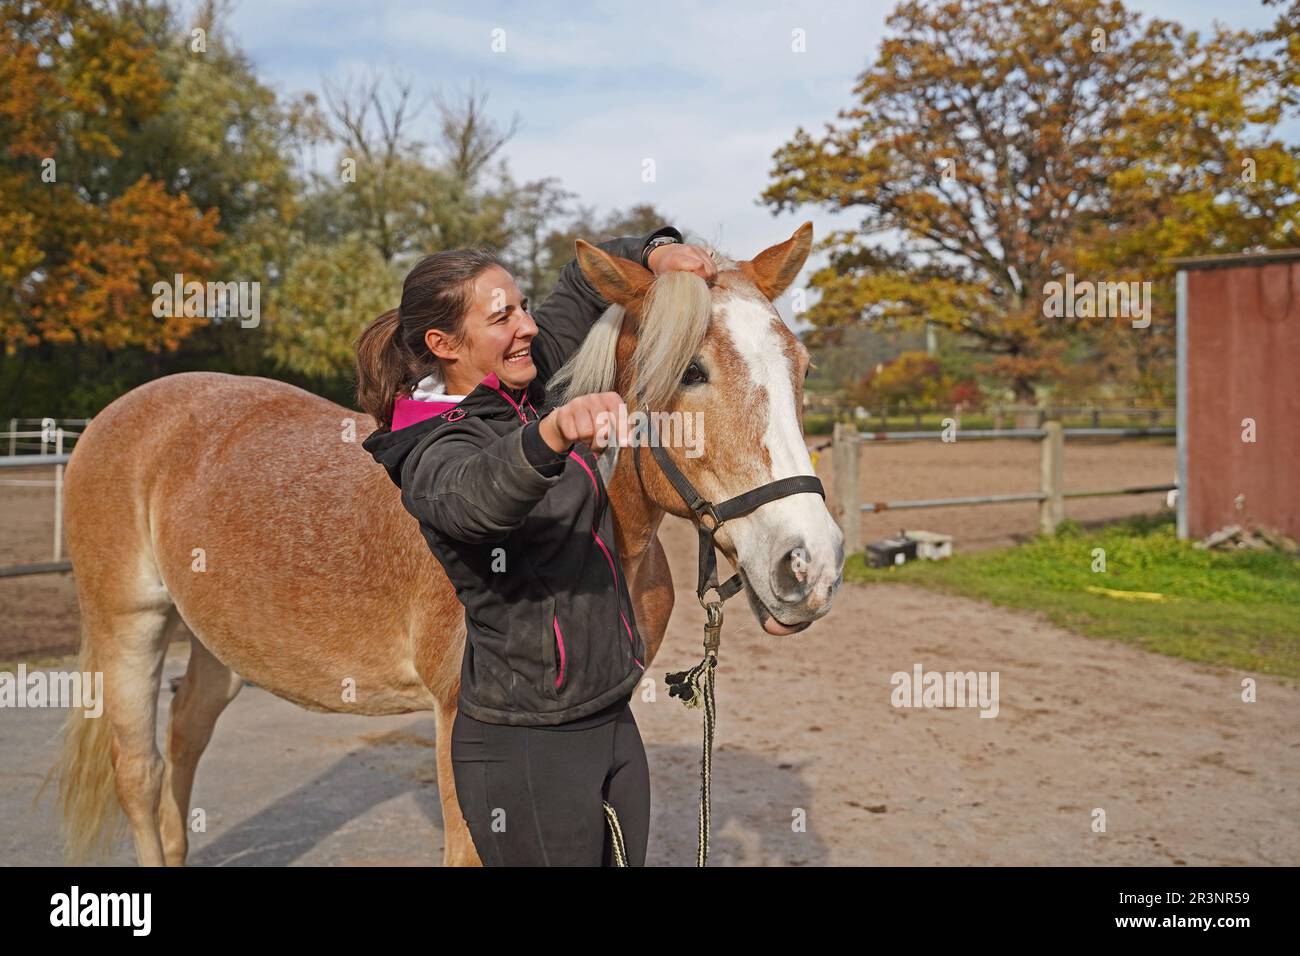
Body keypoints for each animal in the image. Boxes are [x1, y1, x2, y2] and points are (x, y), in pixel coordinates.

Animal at [50, 222, 845, 866]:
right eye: (691, 371)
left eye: (802, 368)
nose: (810, 564)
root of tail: (123, 414)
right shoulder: (459, 727)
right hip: (129, 626)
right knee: (140, 773)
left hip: (218, 645)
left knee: (184, 741)